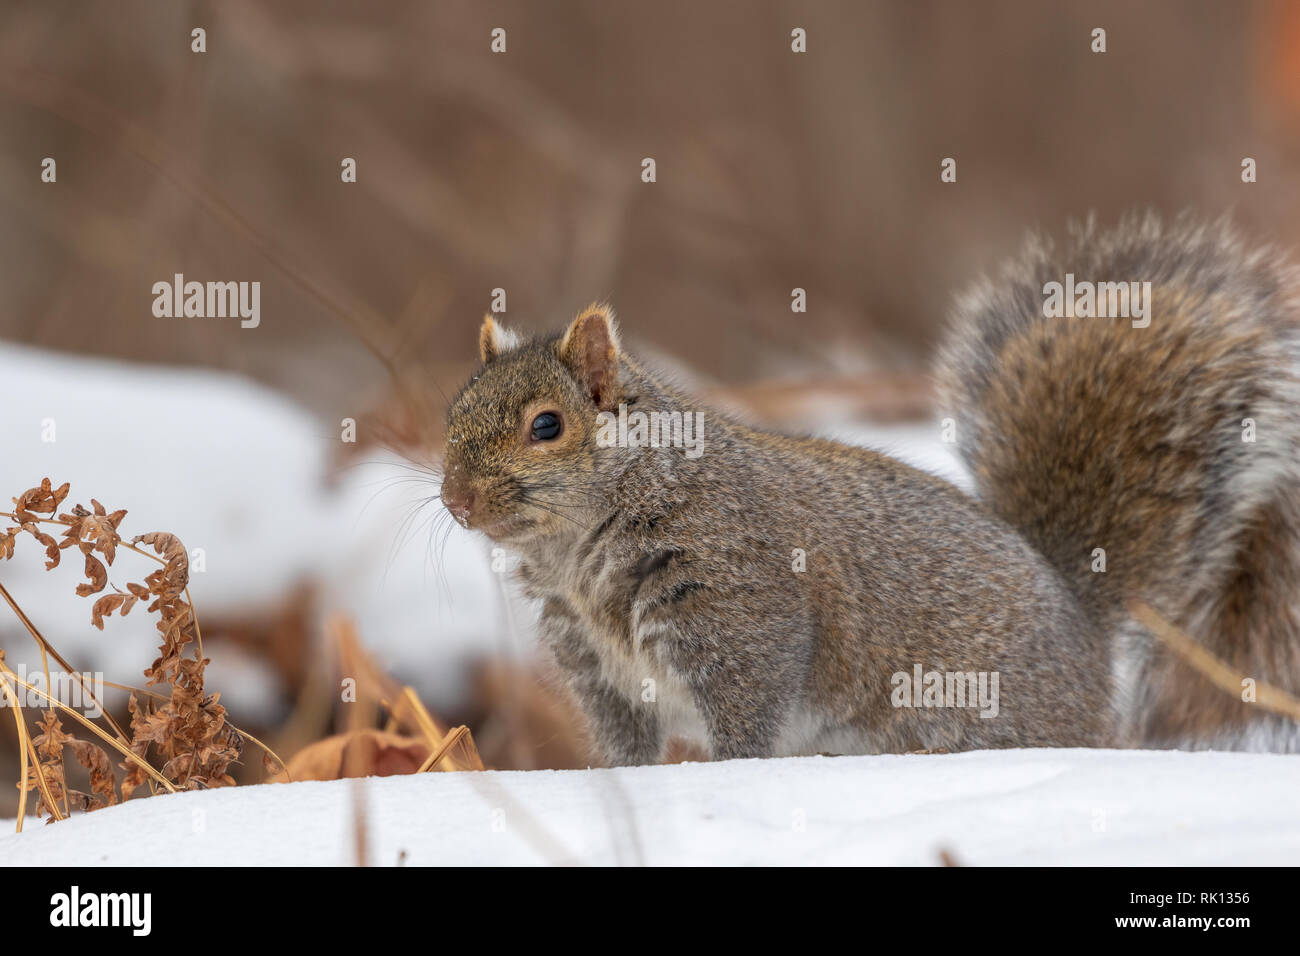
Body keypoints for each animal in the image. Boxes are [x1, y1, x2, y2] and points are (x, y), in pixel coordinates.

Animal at [440, 213, 1300, 763]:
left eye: (547, 426)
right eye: (453, 413)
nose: (456, 501)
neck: (576, 551)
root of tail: (1079, 620)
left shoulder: (739, 611)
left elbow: (747, 716)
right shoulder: (597, 666)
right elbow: (625, 749)